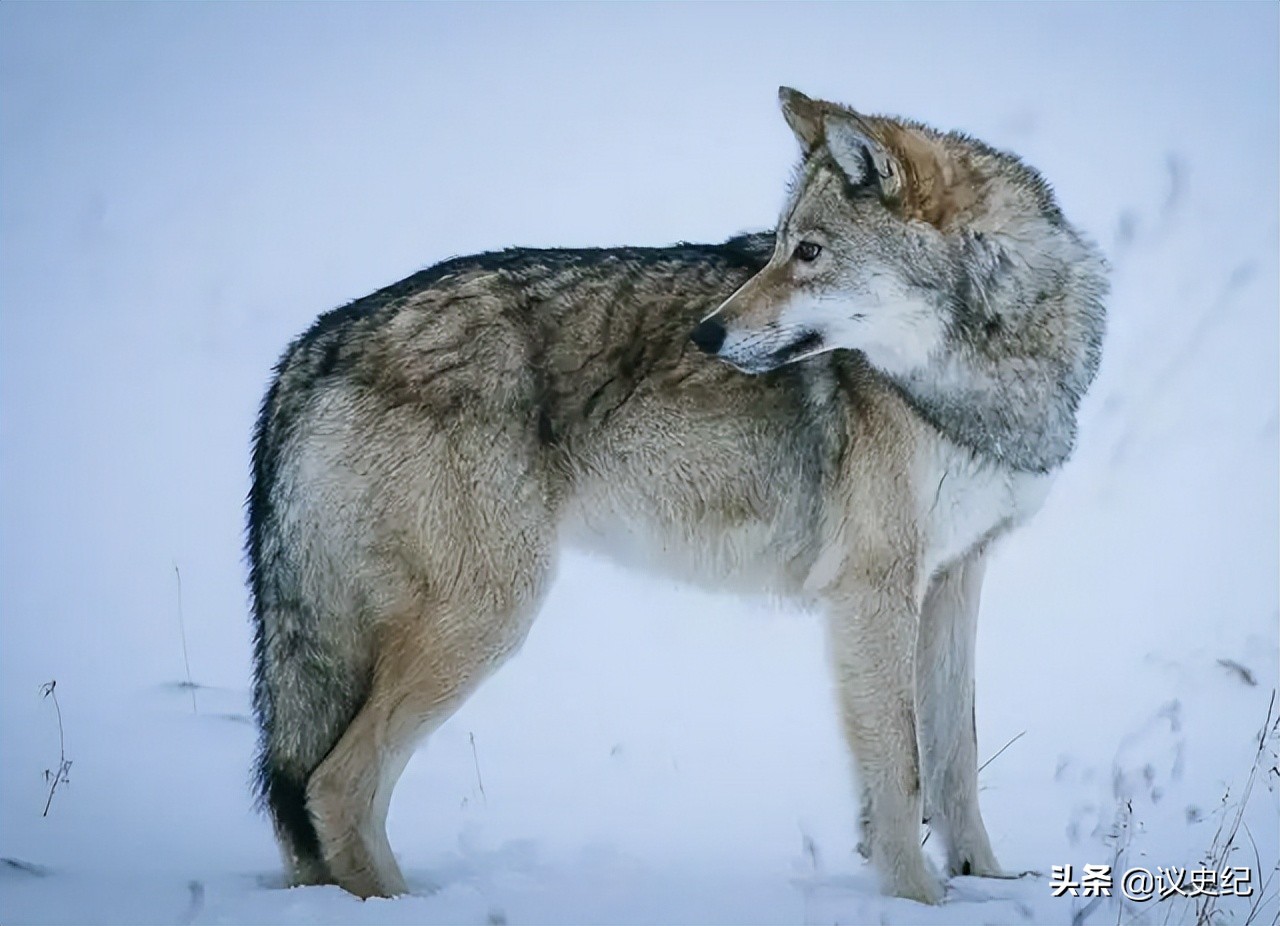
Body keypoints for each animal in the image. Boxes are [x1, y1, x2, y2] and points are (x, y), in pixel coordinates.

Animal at [247, 87, 1105, 905]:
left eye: (809, 252)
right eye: (780, 246)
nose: (706, 336)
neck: (983, 375)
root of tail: (311, 345)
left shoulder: (956, 575)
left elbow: (955, 756)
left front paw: (986, 883)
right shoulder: (874, 590)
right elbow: (901, 769)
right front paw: (917, 899)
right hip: (488, 613)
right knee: (335, 783)